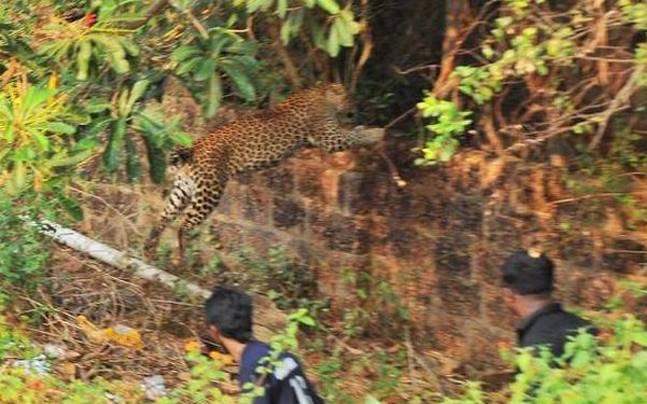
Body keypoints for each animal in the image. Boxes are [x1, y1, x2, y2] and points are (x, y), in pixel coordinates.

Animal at [143, 82, 384, 260]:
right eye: (351, 100)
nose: (357, 112)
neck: (322, 93)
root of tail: (193, 148)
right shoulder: (328, 137)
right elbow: (351, 137)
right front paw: (376, 133)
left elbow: (351, 133)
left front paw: (366, 129)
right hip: (209, 193)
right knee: (182, 225)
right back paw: (182, 255)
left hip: (182, 191)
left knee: (162, 218)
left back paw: (149, 248)